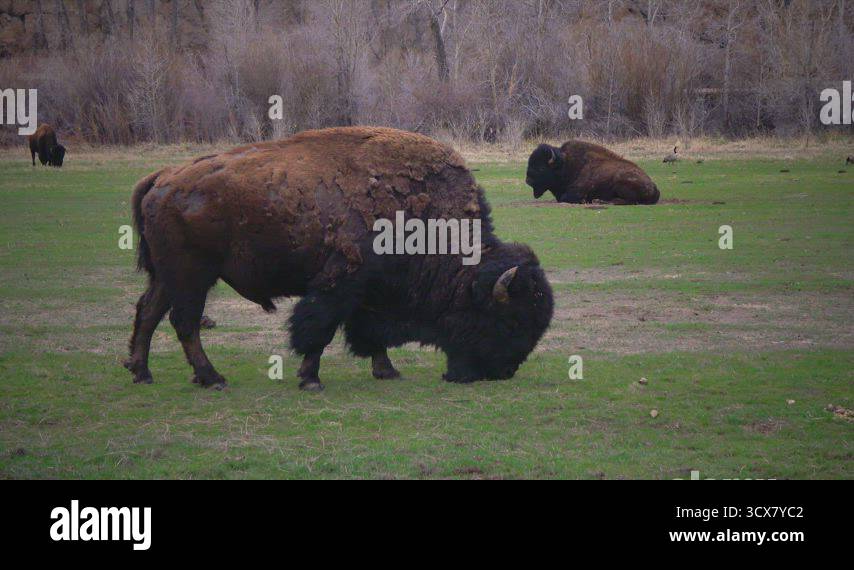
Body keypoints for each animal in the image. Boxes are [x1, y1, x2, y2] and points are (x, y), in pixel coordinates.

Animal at [125, 127, 554, 391]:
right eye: (509, 319)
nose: (502, 372)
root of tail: (163, 177)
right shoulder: (339, 285)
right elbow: (319, 330)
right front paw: (311, 379)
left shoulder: (370, 292)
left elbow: (369, 333)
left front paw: (387, 371)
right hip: (192, 276)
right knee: (184, 322)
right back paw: (212, 377)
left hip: (167, 277)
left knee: (148, 313)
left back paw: (142, 372)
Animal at [526, 141, 660, 205]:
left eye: (541, 168)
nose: (528, 181)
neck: (566, 164)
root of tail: (654, 188)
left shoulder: (576, 191)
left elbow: (565, 198)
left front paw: (584, 201)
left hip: (620, 183)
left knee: (628, 201)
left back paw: (599, 201)